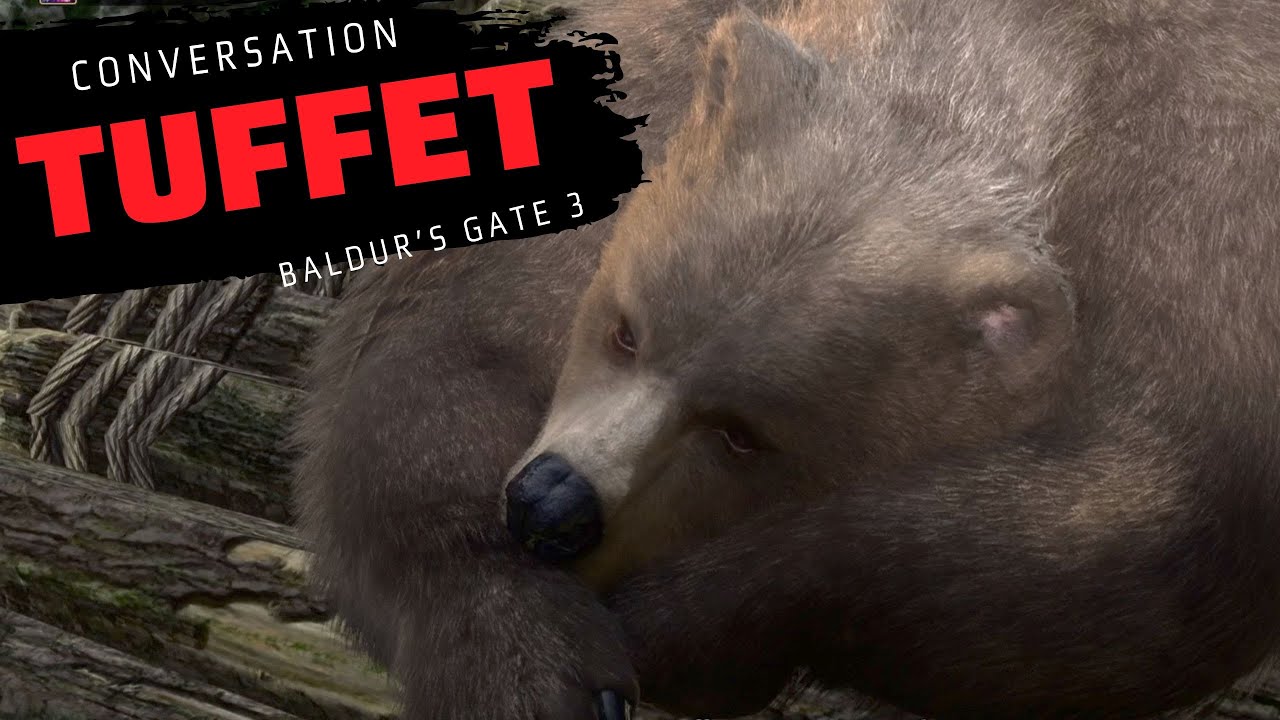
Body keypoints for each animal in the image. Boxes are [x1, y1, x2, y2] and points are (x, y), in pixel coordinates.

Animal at [292, 1, 1280, 719]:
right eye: (625, 329)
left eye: (742, 434)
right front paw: (534, 661)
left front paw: (677, 627)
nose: (551, 506)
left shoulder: (1201, 252)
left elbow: (1107, 557)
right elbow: (437, 361)